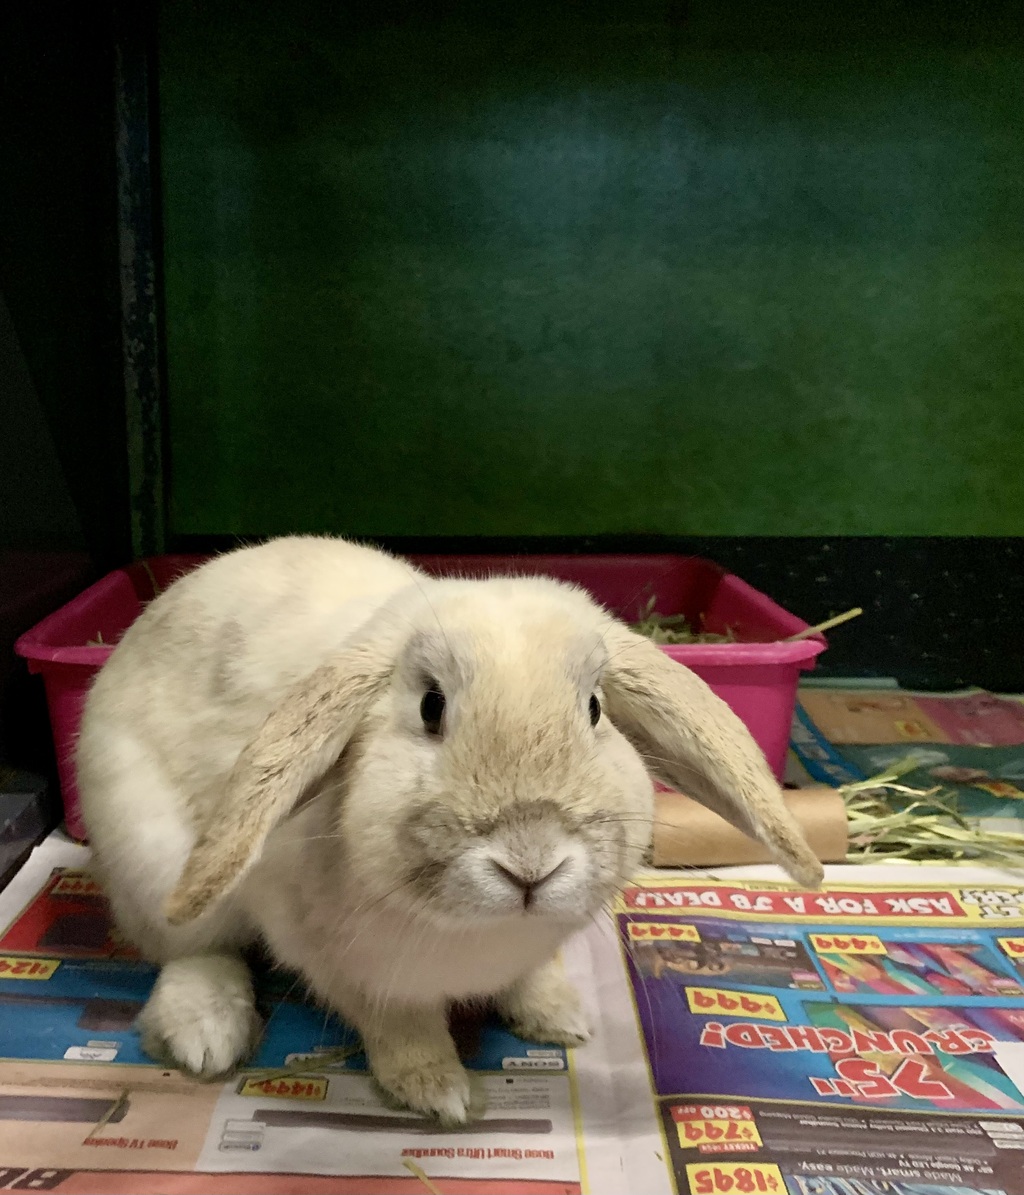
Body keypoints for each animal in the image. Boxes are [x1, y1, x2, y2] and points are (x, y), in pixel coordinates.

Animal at [76, 536, 822, 1123]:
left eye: (594, 708)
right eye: (431, 707)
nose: (531, 863)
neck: (484, 928)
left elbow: (533, 976)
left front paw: (559, 1017)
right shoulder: (348, 969)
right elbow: (400, 1028)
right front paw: (440, 1091)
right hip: (154, 866)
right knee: (191, 953)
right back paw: (209, 1034)